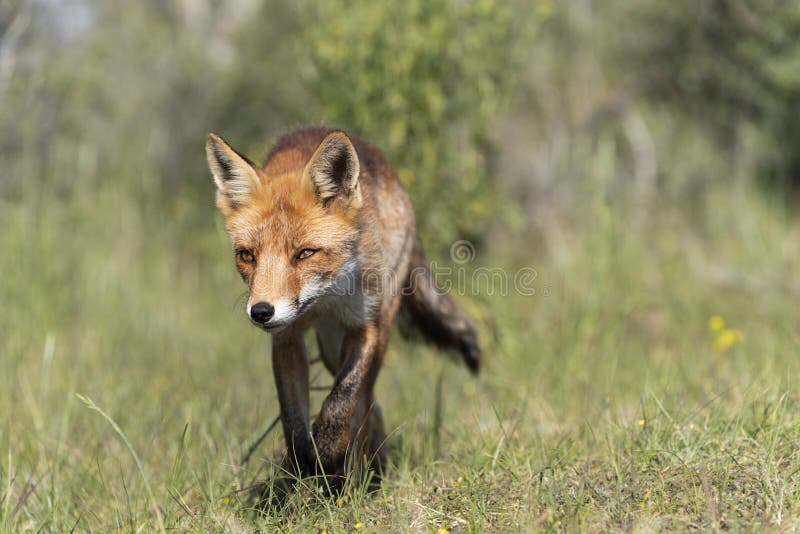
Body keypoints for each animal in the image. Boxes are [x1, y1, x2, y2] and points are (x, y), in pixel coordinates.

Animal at [205, 126, 480, 485]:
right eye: (247, 255)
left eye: (305, 253)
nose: (261, 312)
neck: (323, 300)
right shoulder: (286, 339)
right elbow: (292, 420)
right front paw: (303, 470)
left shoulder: (366, 327)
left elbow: (342, 400)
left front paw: (329, 454)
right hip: (330, 347)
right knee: (371, 406)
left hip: (373, 332)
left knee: (364, 400)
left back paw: (360, 474)